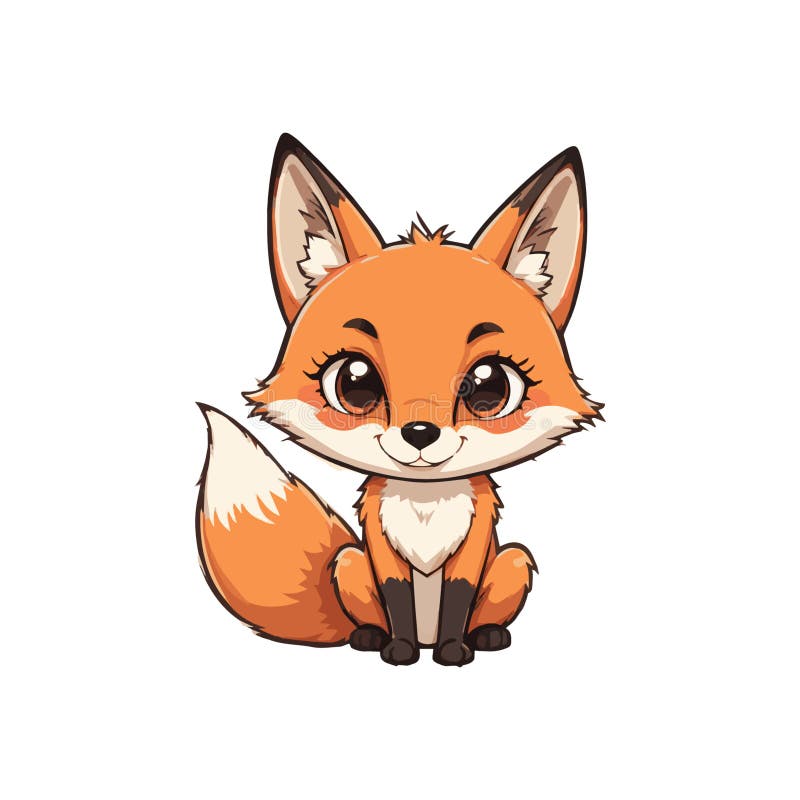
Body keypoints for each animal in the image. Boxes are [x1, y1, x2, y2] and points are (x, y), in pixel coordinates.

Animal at [196, 134, 602, 666]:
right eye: (355, 381)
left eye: (490, 385)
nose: (420, 434)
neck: (424, 504)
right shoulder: (378, 546)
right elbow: (397, 599)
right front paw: (401, 649)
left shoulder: (475, 546)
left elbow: (457, 600)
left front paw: (452, 651)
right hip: (349, 562)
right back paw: (370, 637)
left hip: (513, 560)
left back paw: (488, 636)